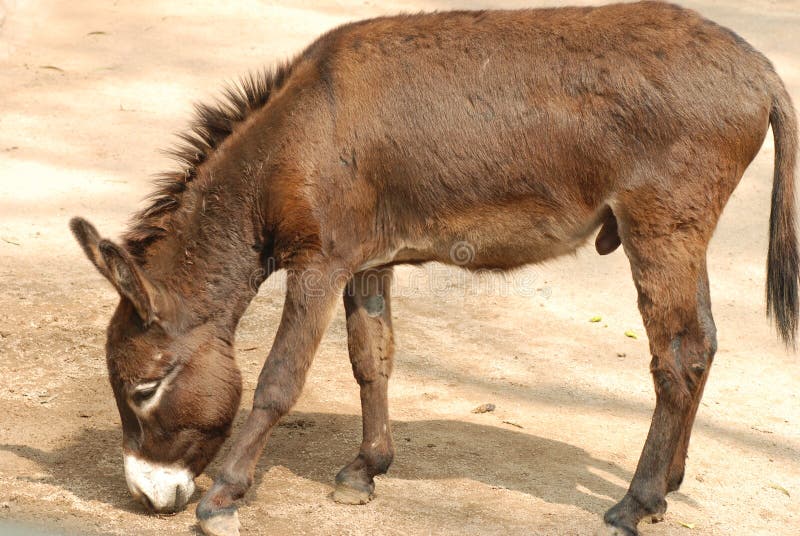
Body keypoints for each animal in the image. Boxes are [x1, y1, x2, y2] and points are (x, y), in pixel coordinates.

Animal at [69, 2, 797, 535]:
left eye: (144, 387)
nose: (145, 496)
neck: (295, 139)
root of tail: (758, 68)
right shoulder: (366, 262)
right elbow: (372, 361)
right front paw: (364, 470)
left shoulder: (319, 264)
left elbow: (279, 379)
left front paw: (222, 497)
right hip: (683, 235)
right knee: (703, 345)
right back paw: (667, 487)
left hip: (660, 229)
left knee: (675, 359)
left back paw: (633, 504)